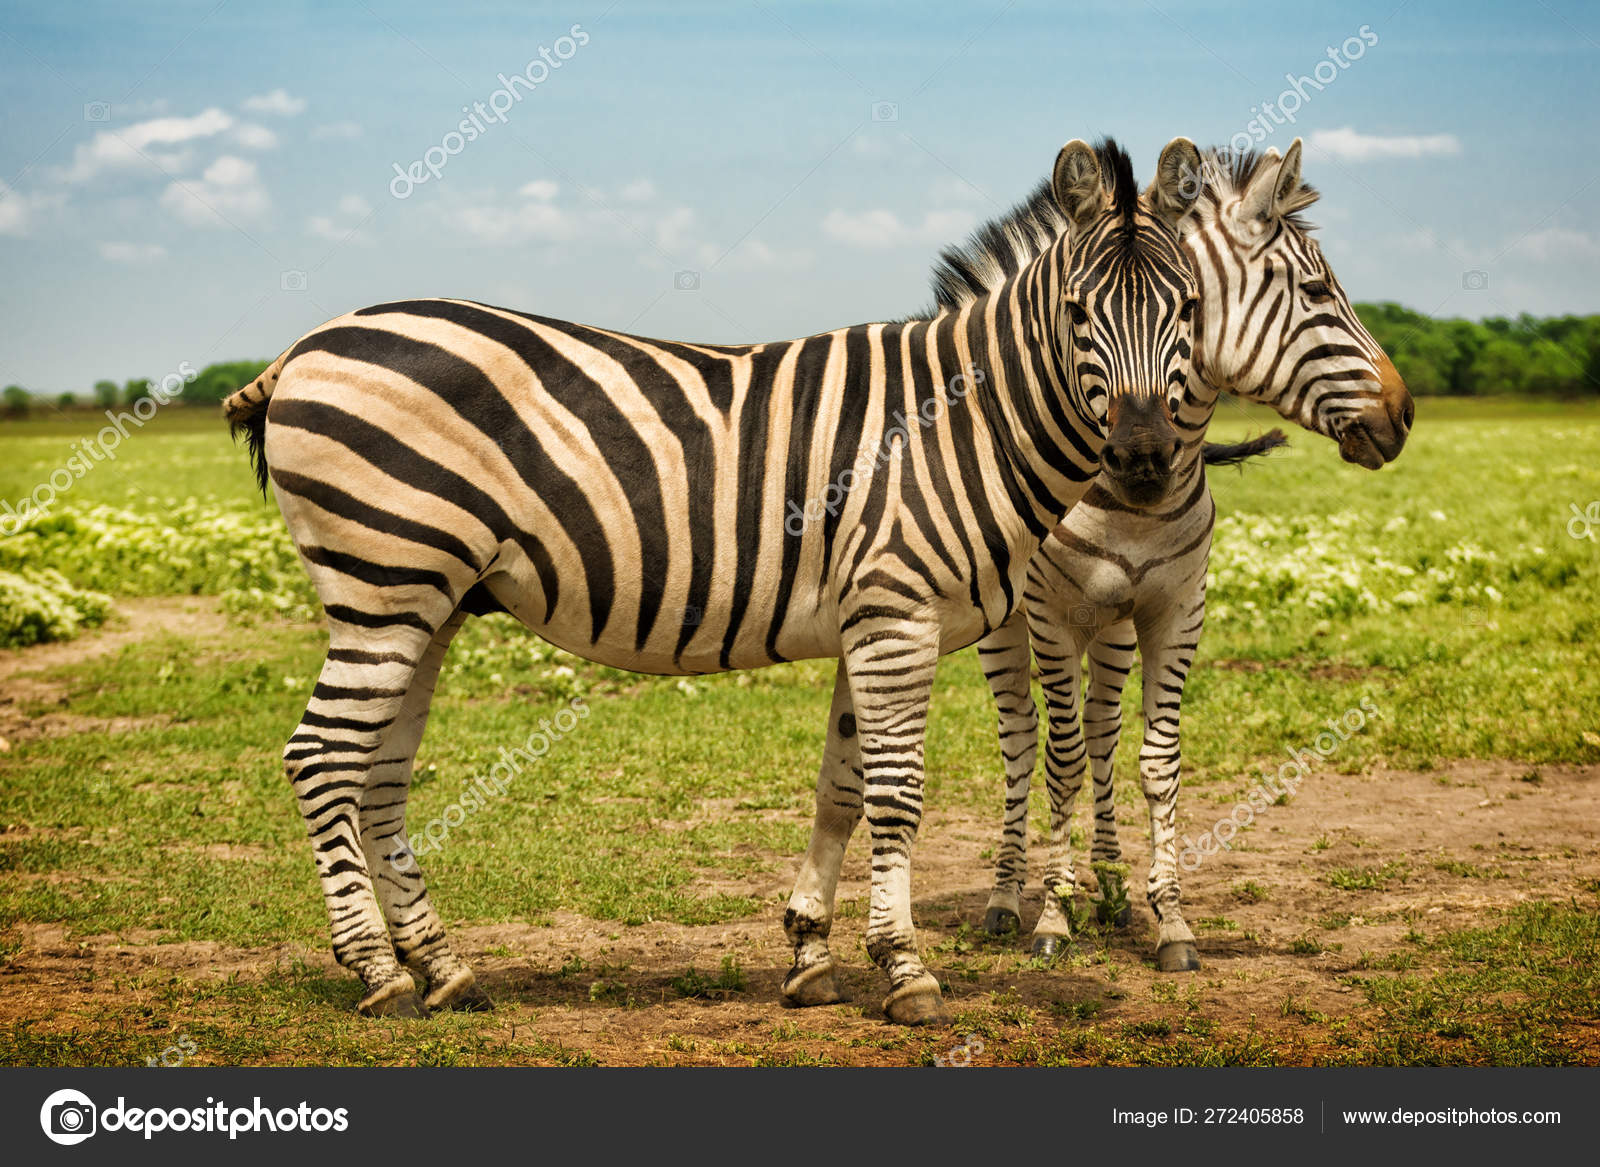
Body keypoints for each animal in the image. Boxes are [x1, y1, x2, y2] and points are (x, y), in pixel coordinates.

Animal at [222, 137, 1204, 1025]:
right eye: (1078, 312)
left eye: (1190, 308)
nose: (1145, 459)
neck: (964, 418)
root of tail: (304, 349)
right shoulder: (898, 616)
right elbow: (895, 795)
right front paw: (905, 969)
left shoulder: (866, 621)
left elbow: (841, 788)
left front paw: (811, 956)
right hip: (384, 584)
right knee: (321, 758)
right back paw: (379, 974)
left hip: (426, 600)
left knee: (379, 772)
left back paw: (442, 968)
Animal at [963, 139, 1413, 969]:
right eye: (1315, 289)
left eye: (1187, 311)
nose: (1403, 414)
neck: (1134, 491)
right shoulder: (1050, 616)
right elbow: (1058, 759)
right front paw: (1053, 917)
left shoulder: (1175, 610)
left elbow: (1155, 760)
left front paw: (1168, 915)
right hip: (1006, 625)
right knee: (1022, 735)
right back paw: (1010, 896)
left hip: (1113, 624)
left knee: (1101, 729)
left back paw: (1109, 891)